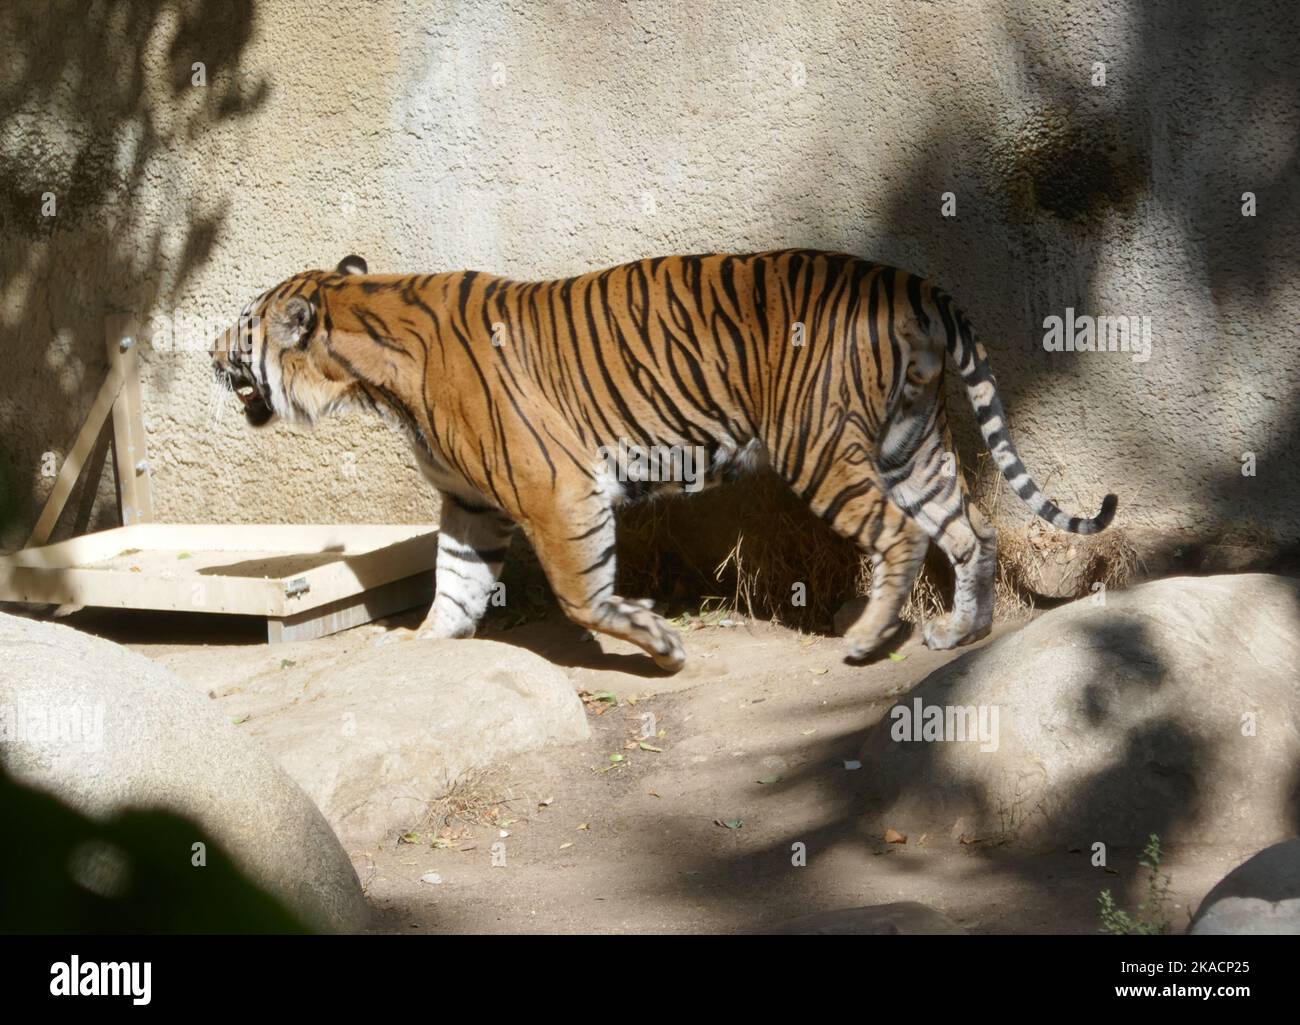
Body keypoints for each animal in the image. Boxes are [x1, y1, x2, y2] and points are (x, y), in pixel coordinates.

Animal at [210, 250, 1116, 672]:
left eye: (242, 325)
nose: (210, 350)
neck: (373, 370)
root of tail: (910, 283)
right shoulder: (470, 504)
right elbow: (454, 584)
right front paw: (425, 646)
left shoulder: (557, 490)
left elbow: (581, 594)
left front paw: (659, 644)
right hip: (910, 442)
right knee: (973, 533)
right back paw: (962, 631)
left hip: (821, 446)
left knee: (901, 534)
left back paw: (864, 639)